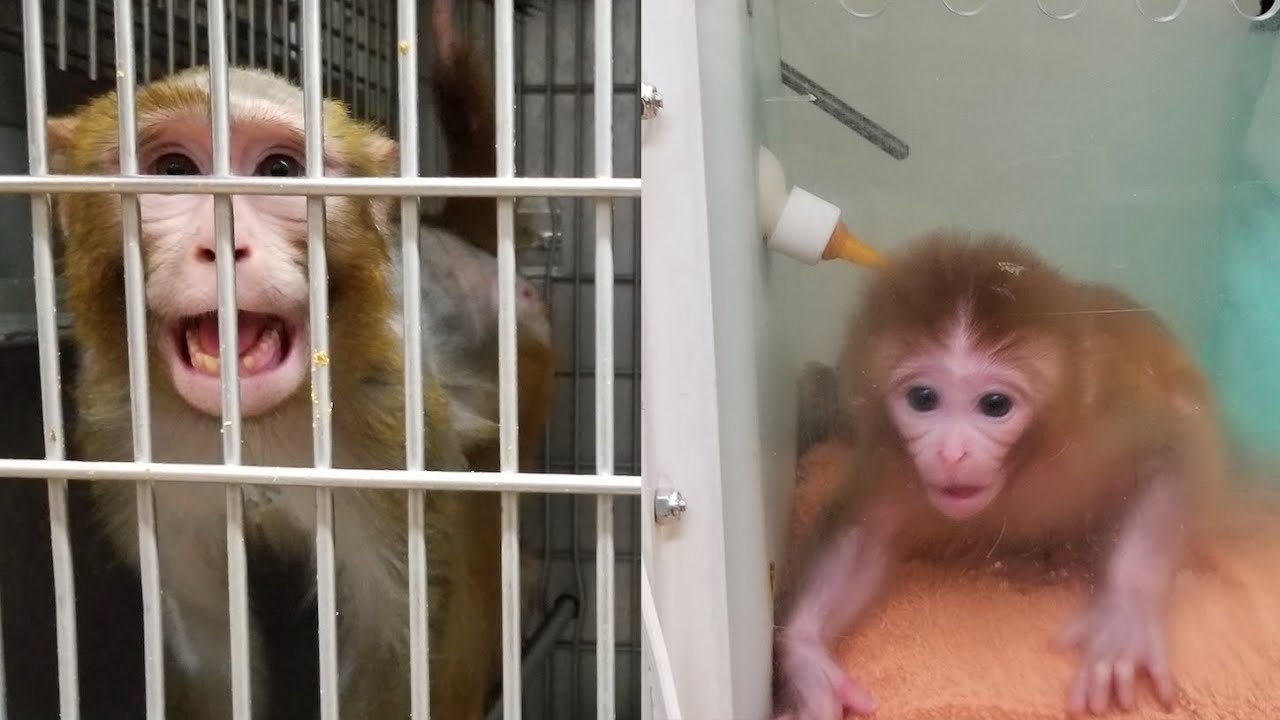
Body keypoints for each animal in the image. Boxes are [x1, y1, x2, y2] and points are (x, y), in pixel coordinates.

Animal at [48, 66, 504, 720]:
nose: (225, 243)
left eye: (280, 170)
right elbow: (205, 638)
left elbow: (392, 639)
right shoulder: (119, 430)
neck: (253, 428)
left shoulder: (391, 418)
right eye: (174, 170)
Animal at [772, 230, 1227, 719]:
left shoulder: (1101, 418)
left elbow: (1173, 449)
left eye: (994, 405)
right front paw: (806, 661)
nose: (952, 453)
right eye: (923, 398)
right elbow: (863, 533)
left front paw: (1124, 617)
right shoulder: (896, 465)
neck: (1021, 467)